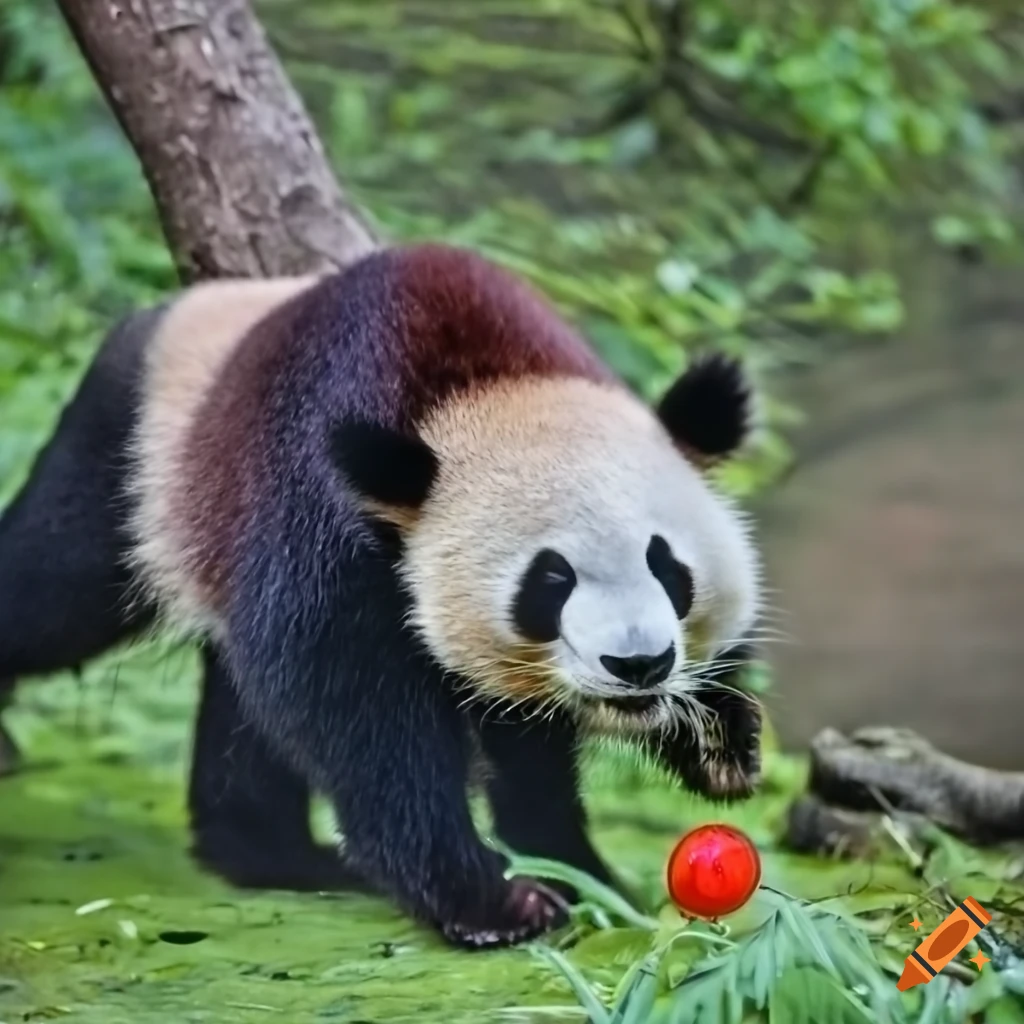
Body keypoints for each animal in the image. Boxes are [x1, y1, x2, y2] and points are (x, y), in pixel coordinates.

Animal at [0, 243, 763, 948]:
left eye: (668, 567)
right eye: (551, 581)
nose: (638, 665)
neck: (485, 386)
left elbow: (527, 744)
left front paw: (705, 754)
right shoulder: (326, 501)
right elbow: (352, 695)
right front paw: (493, 901)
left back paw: (270, 853)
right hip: (139, 459)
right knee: (56, 589)